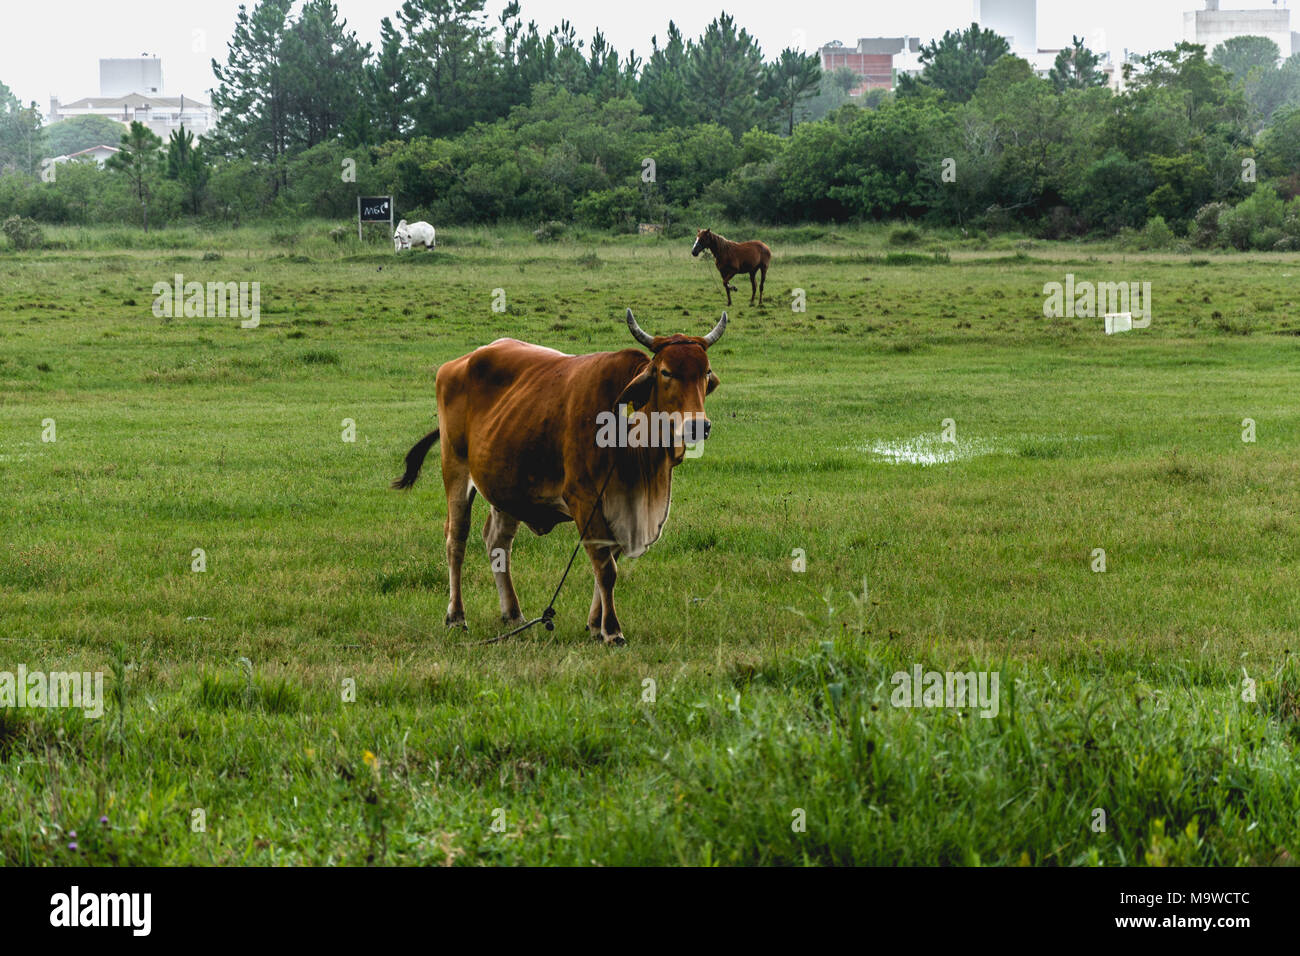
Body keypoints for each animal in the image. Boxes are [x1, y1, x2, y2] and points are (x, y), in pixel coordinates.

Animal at [391, 309, 727, 646]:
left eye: (706, 372)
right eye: (666, 372)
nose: (698, 426)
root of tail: (459, 362)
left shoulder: (622, 506)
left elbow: (608, 561)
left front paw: (595, 624)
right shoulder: (585, 499)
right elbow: (606, 567)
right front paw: (612, 629)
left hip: (506, 484)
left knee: (497, 541)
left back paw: (513, 613)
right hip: (456, 469)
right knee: (456, 539)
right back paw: (456, 616)